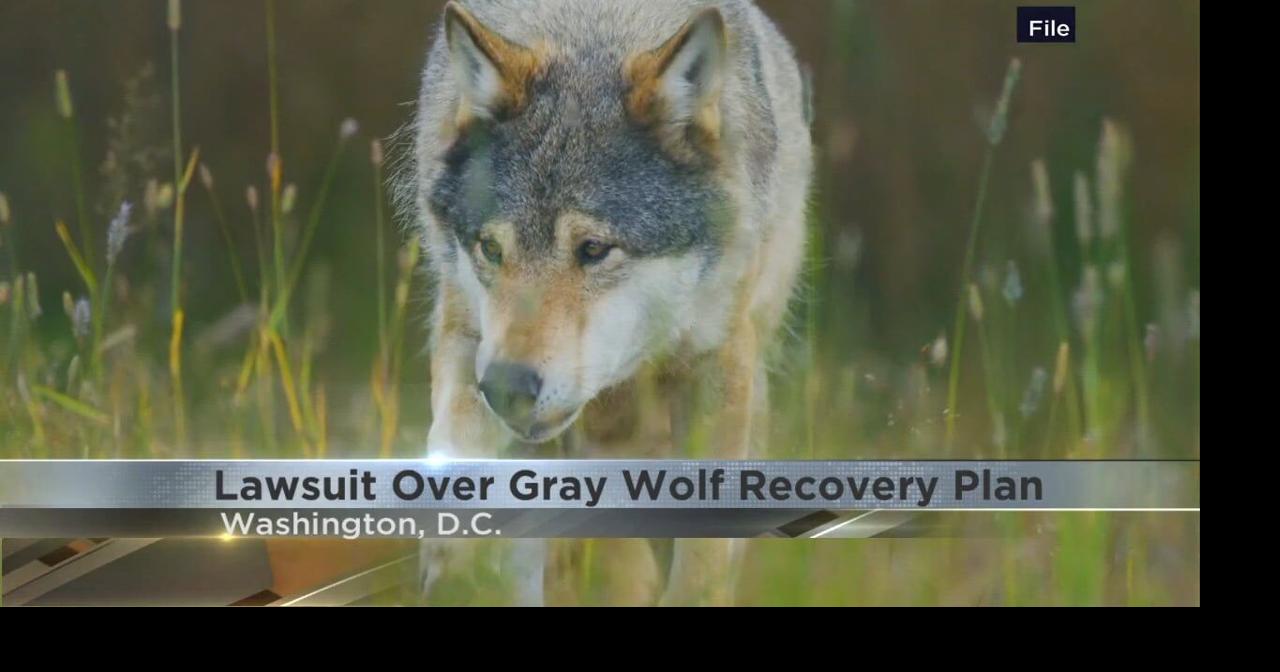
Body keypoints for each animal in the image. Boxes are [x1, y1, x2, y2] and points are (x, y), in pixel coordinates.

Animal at [407, 0, 813, 605]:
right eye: (491, 249)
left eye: (593, 249)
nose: (507, 387)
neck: (593, 31)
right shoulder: (466, 332)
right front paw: (452, 565)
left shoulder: (719, 360)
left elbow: (702, 565)